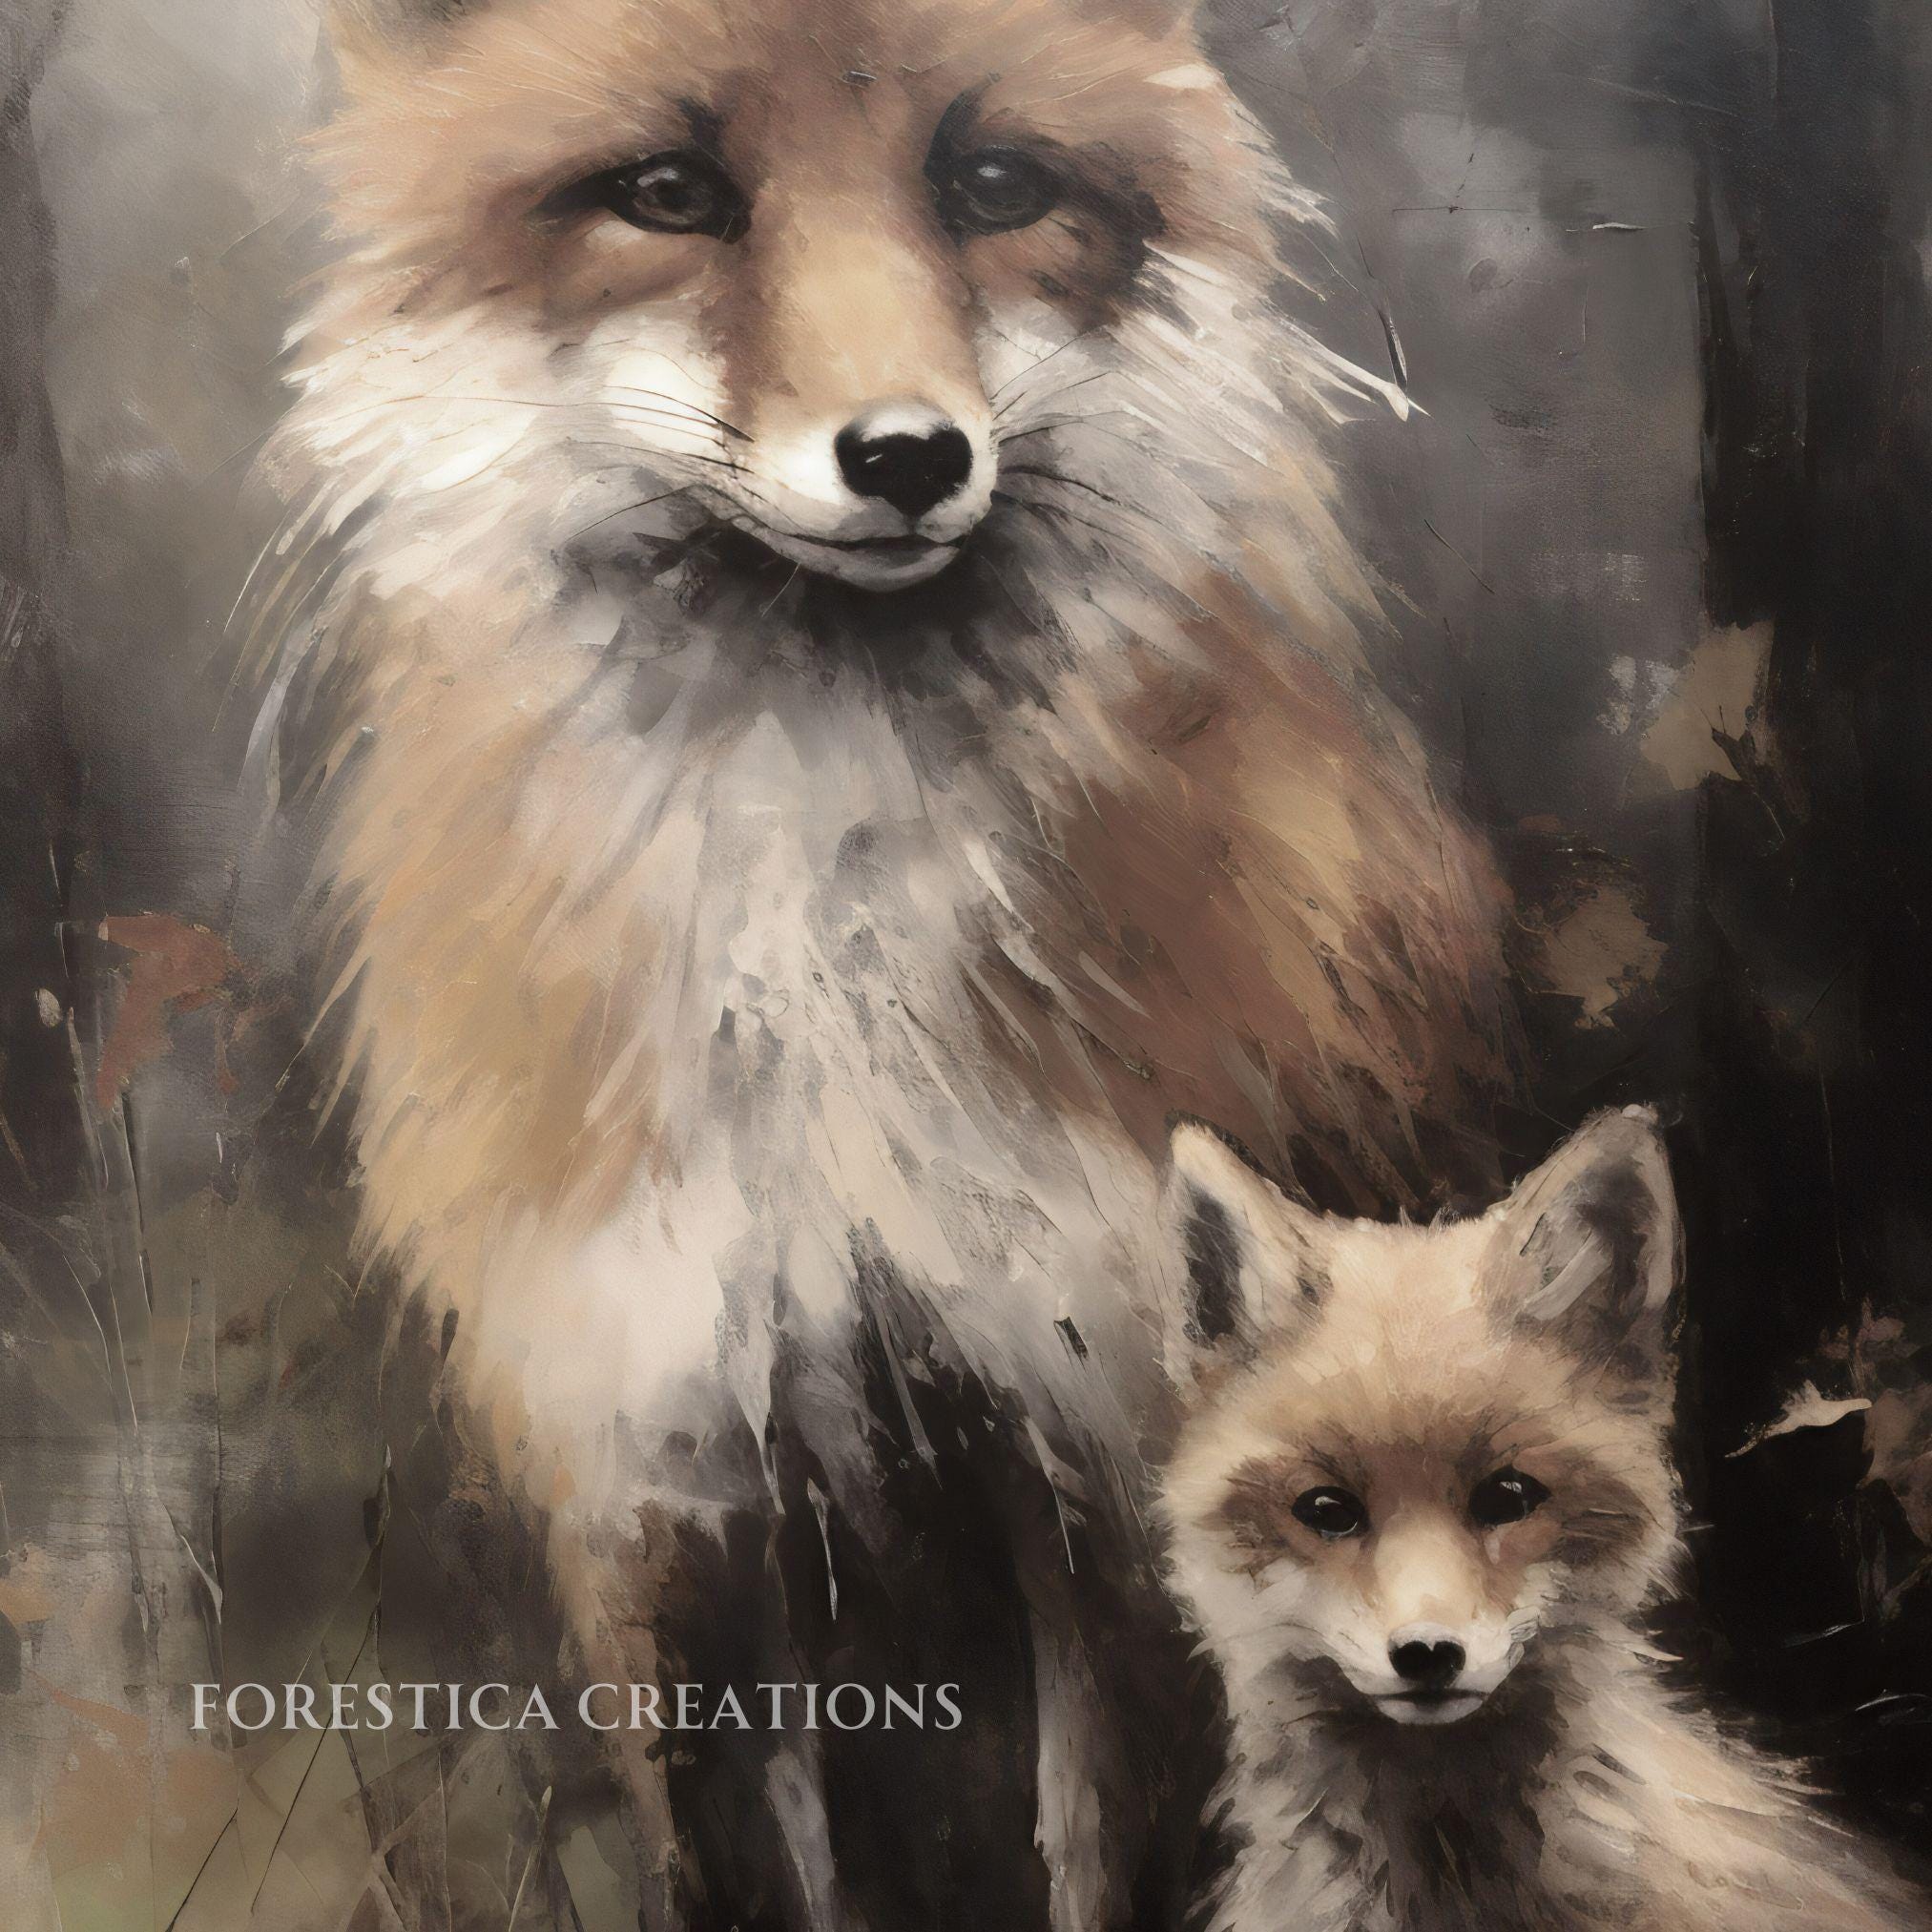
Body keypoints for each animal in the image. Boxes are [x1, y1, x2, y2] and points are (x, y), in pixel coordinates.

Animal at [246, 0, 1515, 1919]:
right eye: (670, 193)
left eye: (989, 182)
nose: (910, 457)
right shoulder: (670, 1482)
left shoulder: (1110, 1448)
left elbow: (1118, 1865)